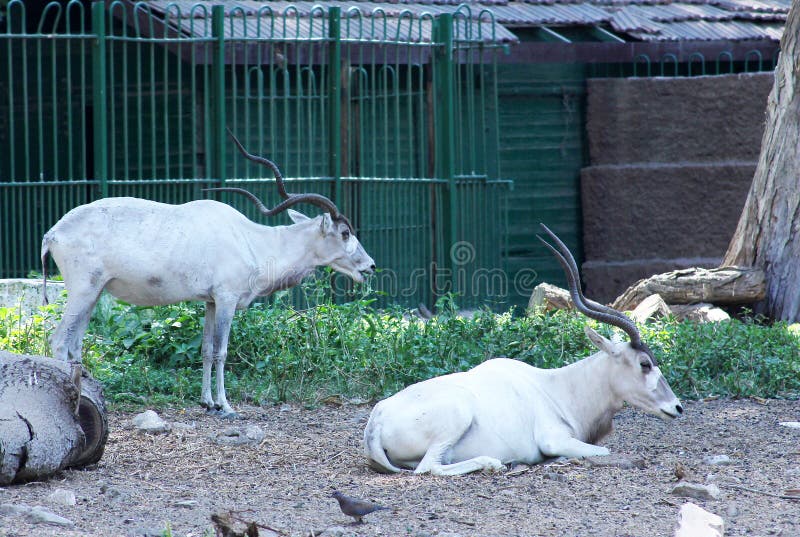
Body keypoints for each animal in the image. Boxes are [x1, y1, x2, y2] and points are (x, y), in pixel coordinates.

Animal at [41, 131, 375, 418]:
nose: (370, 267)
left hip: (94, 293)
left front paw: (208, 403)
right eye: (345, 233)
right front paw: (225, 405)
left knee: (75, 343)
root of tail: (53, 233)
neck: (251, 240)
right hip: (83, 291)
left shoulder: (210, 302)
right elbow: (221, 351)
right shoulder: (227, 299)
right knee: (59, 341)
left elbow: (204, 350)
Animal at [363, 224, 682, 475]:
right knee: (428, 468)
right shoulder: (554, 439)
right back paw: (494, 463)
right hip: (457, 416)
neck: (561, 387)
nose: (677, 408)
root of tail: (376, 421)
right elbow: (600, 452)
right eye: (644, 363)